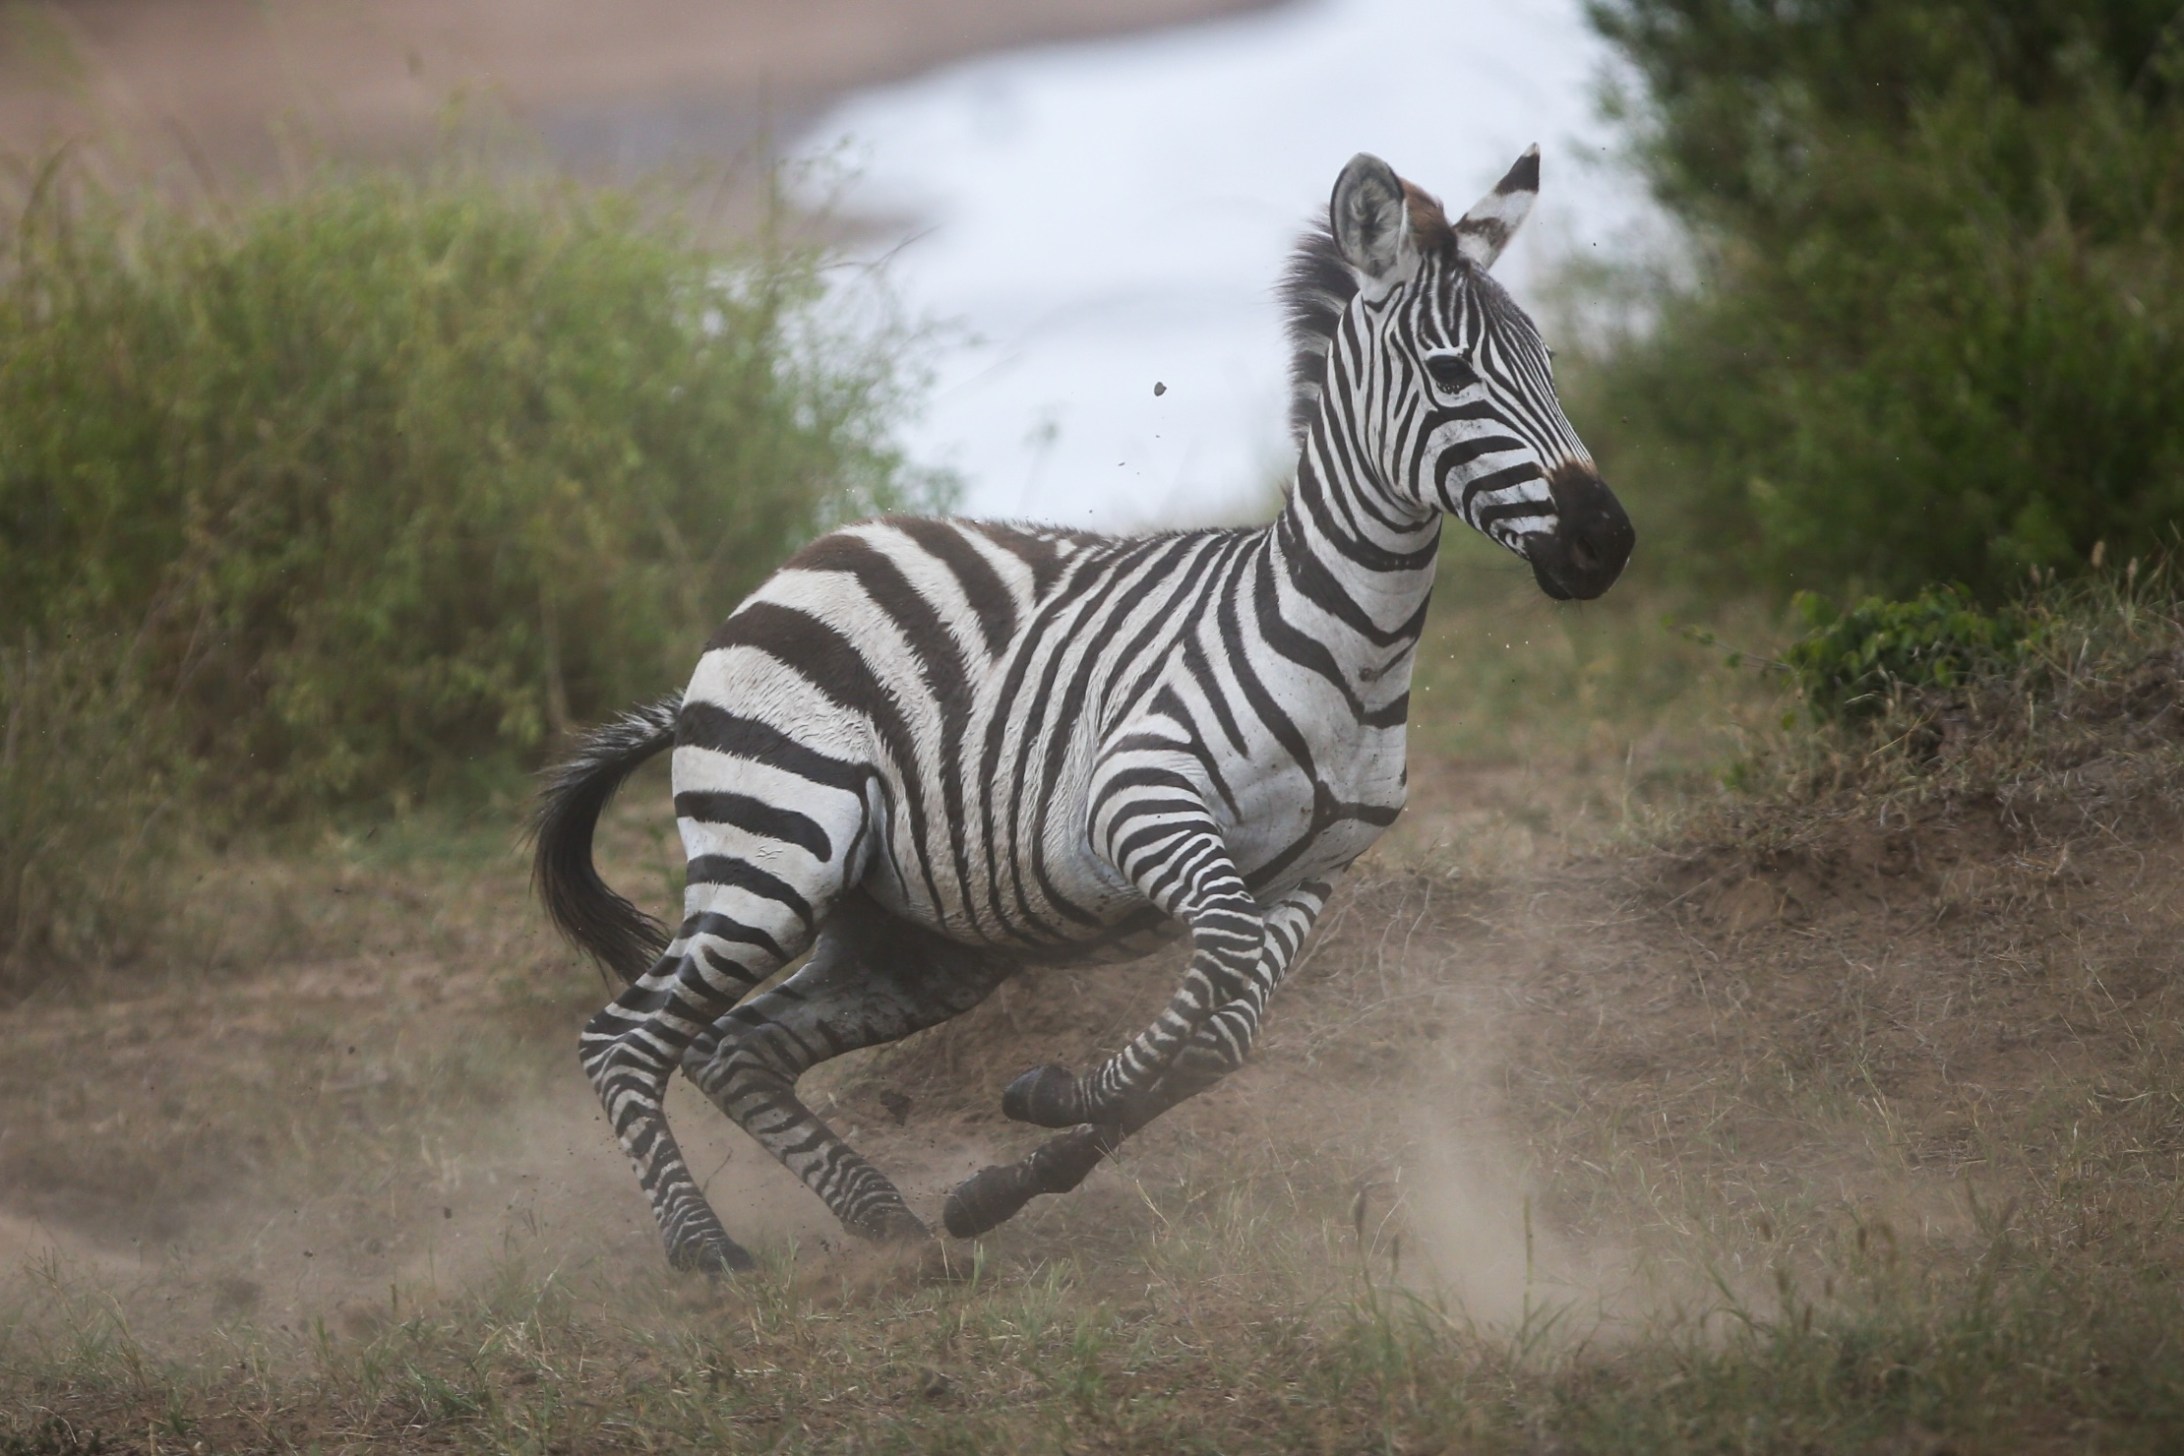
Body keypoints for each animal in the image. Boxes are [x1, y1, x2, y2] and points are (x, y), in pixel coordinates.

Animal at [535, 147, 1633, 1273]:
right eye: (1452, 374)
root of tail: (788, 576)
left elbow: (1223, 1037)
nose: (1605, 542)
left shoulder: (1313, 878)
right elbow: (1217, 956)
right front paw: (1053, 1093)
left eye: (1548, 362)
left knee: (740, 1047)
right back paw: (705, 1249)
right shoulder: (1135, 804)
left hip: (912, 942)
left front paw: (1012, 1174)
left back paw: (890, 1225)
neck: (1350, 650)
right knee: (625, 1037)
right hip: (777, 853)